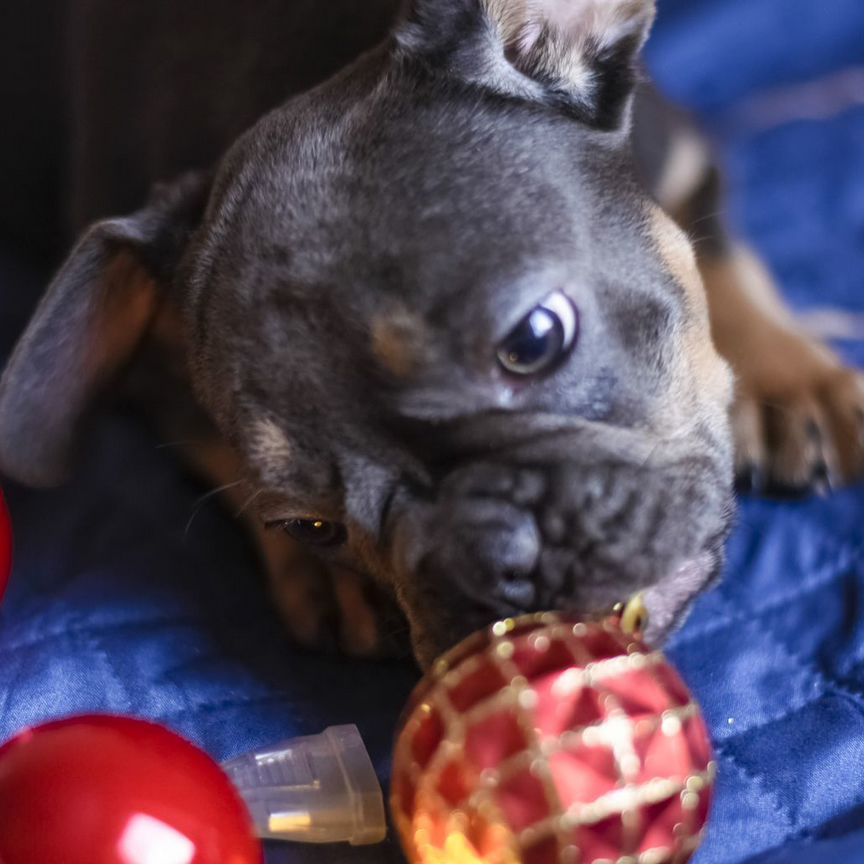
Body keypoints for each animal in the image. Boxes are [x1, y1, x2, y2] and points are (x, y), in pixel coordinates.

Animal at [1, 0, 864, 668]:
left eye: (536, 337)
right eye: (308, 525)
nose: (487, 562)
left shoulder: (686, 152)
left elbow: (720, 256)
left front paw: (792, 381)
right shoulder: (150, 373)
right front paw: (332, 581)